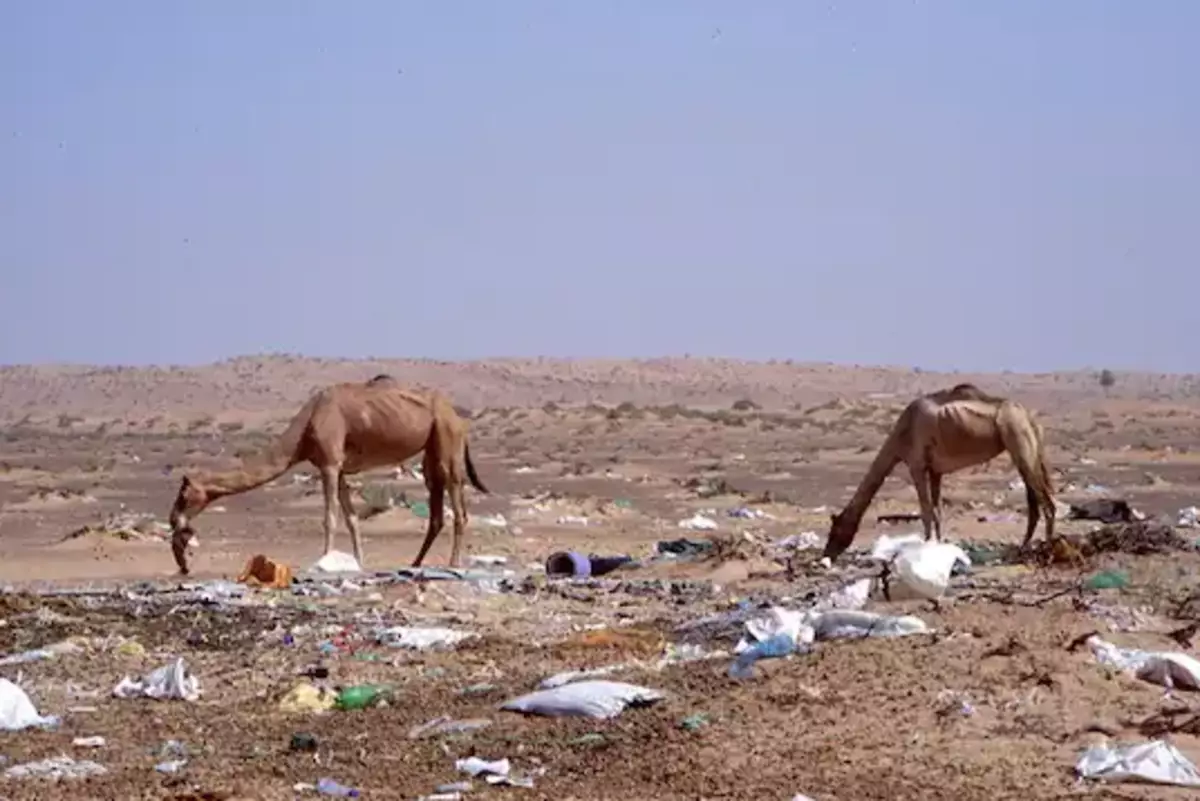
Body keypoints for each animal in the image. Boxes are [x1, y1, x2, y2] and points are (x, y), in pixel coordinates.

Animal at [166, 378, 489, 573]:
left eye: (182, 496)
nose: (172, 521)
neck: (306, 426)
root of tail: (458, 416)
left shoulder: (330, 464)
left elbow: (329, 518)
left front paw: (323, 562)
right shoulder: (340, 468)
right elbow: (352, 519)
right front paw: (358, 563)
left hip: (447, 441)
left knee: (458, 503)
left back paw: (453, 563)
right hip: (431, 450)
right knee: (436, 508)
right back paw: (415, 563)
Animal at [820, 383, 1056, 563]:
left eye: (835, 529)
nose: (826, 554)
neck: (900, 435)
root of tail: (1029, 417)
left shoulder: (917, 465)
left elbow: (925, 511)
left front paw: (924, 550)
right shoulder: (935, 471)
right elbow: (937, 512)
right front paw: (939, 549)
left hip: (1018, 440)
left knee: (1047, 503)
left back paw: (1047, 552)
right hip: (1027, 451)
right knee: (1035, 502)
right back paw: (1023, 549)